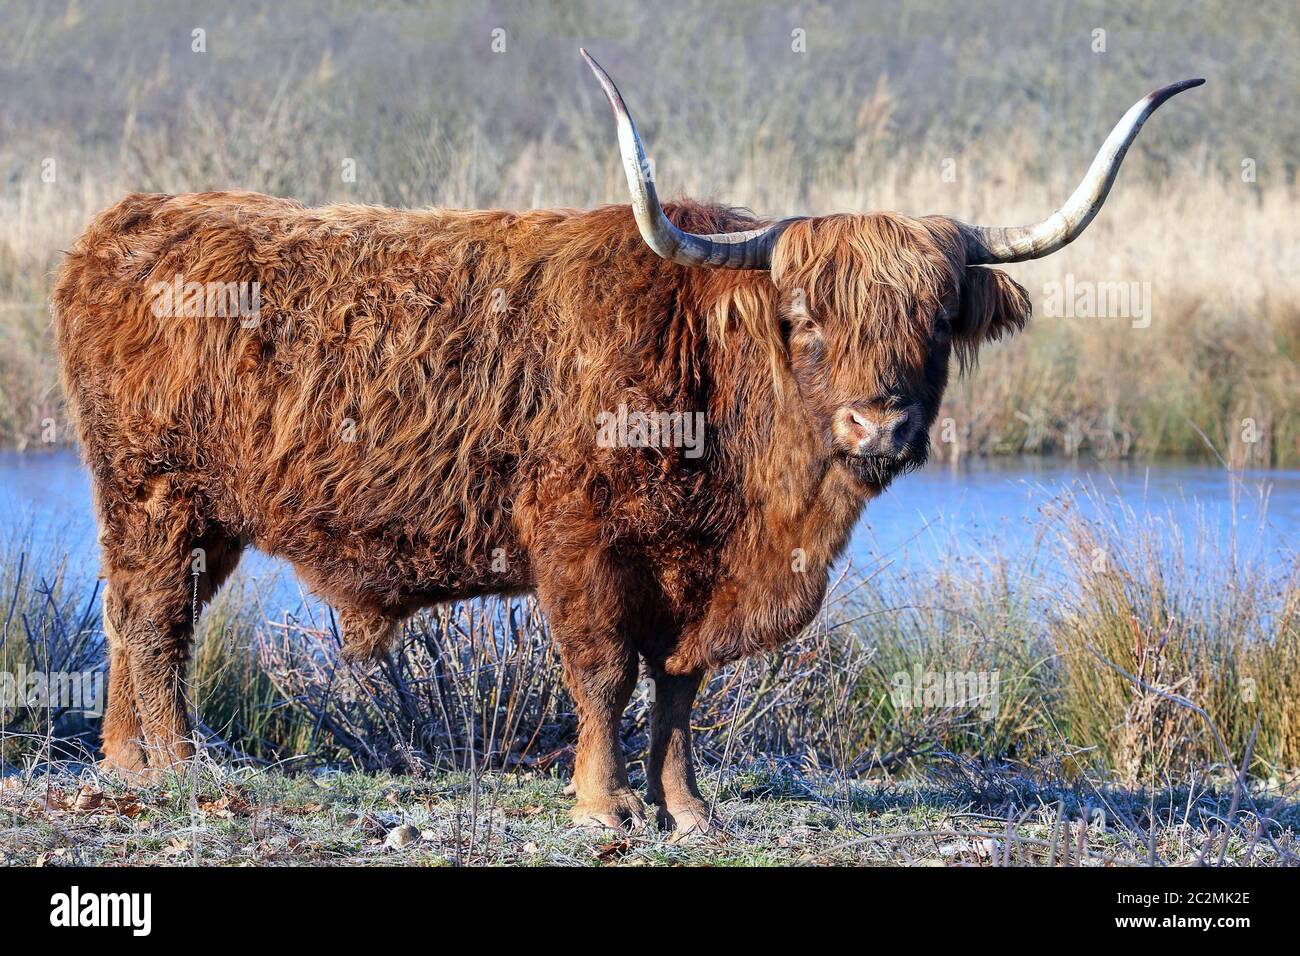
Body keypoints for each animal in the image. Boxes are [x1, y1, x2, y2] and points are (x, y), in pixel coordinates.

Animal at [52, 50, 1201, 833]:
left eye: (934, 319)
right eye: (804, 318)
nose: (877, 422)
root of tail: (130, 219)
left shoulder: (697, 573)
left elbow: (684, 683)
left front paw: (686, 806)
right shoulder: (577, 538)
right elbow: (604, 672)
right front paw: (602, 805)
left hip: (204, 516)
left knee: (133, 616)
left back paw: (124, 761)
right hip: (154, 492)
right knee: (152, 623)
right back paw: (179, 765)